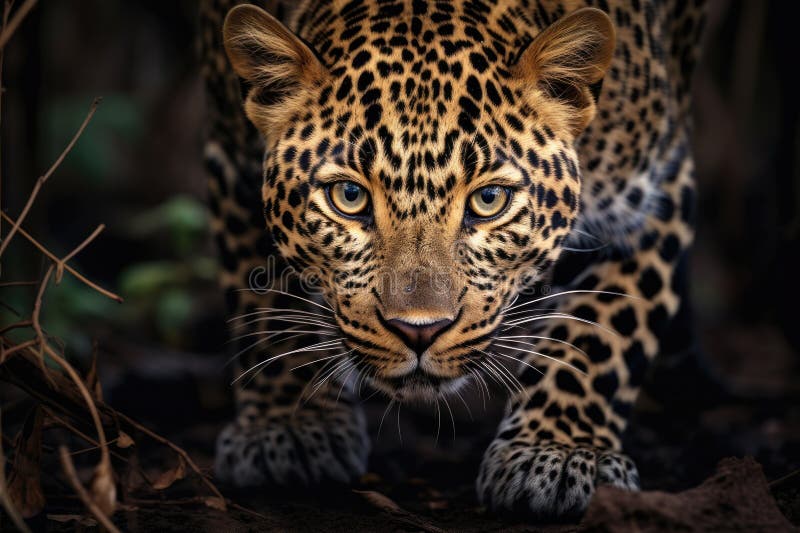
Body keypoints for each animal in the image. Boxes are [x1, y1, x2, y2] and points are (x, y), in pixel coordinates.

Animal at [198, 0, 705, 519]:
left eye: (490, 200)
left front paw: (558, 451)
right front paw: (285, 428)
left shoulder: (657, 192)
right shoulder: (231, 160)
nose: (419, 331)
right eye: (349, 197)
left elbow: (601, 333)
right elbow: (266, 309)